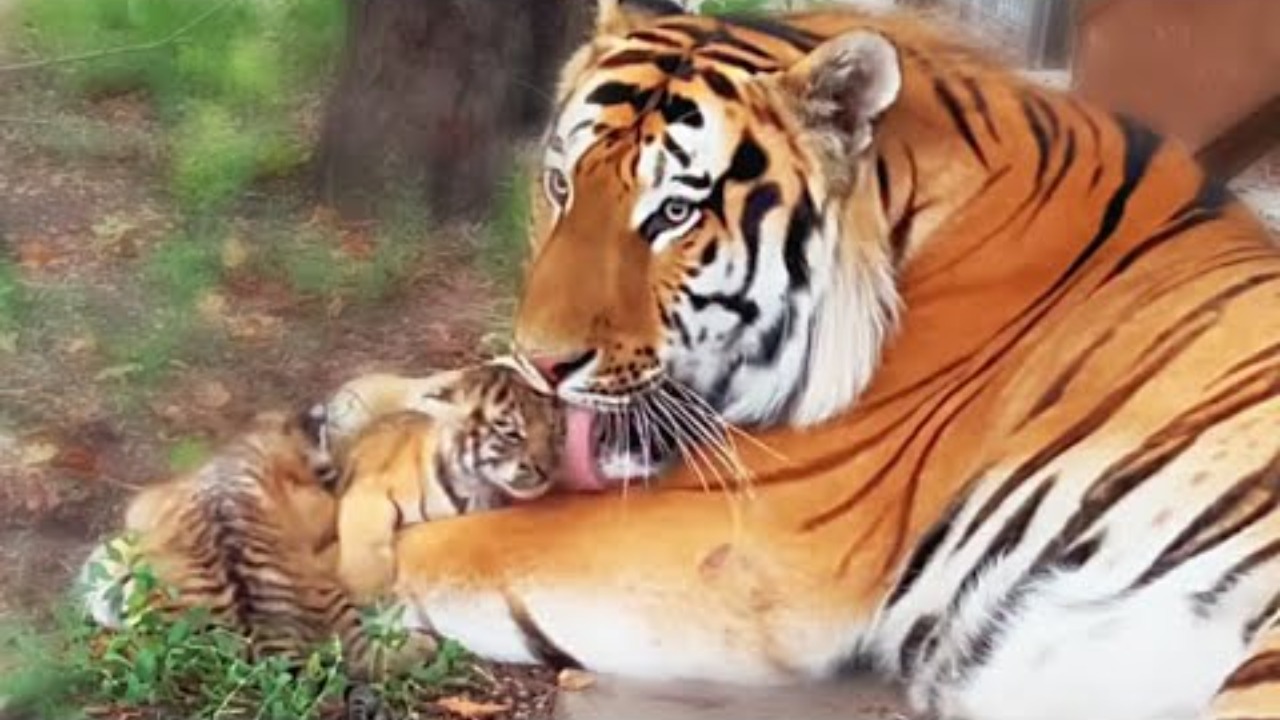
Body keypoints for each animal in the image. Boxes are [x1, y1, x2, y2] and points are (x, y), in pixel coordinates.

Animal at [76, 406, 435, 681]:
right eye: (314, 430)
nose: (320, 411)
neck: (246, 448)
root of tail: (262, 637)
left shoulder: (150, 503)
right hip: (331, 597)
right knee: (365, 658)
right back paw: (423, 646)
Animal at [323, 363, 563, 602]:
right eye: (512, 434)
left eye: (552, 428)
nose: (549, 471)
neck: (470, 487)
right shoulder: (368, 488)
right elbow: (364, 537)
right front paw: (368, 591)